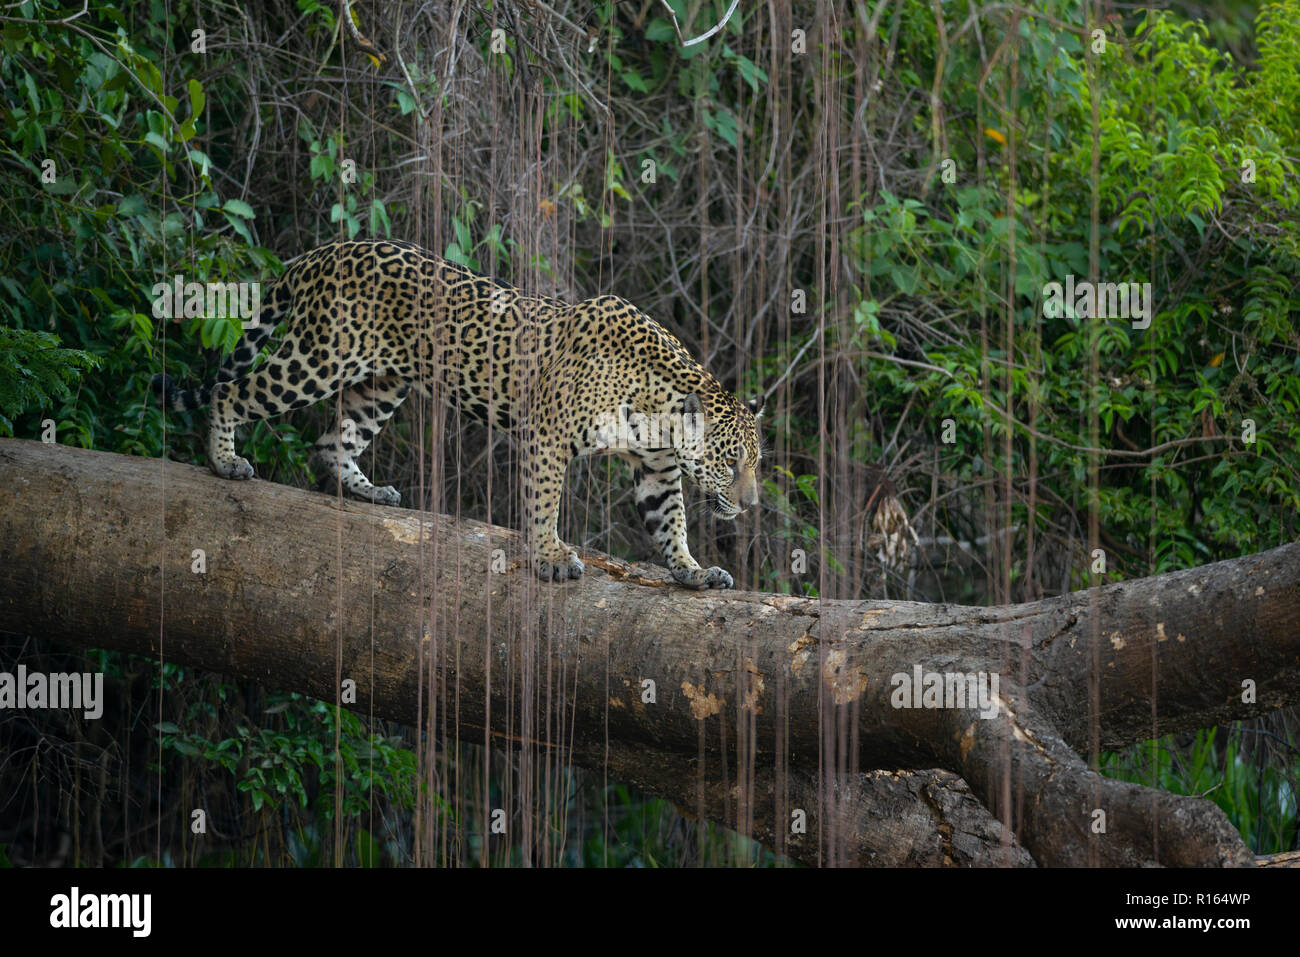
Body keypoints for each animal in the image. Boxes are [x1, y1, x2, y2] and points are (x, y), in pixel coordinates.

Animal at [152, 239, 762, 588]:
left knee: (329, 444)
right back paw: (225, 461)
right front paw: (549, 557)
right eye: (731, 462)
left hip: (380, 385)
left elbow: (670, 520)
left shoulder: (657, 466)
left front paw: (692, 571)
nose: (752, 504)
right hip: (316, 359)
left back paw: (368, 492)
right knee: (231, 391)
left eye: (754, 464)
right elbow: (544, 503)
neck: (658, 404)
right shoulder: (548, 437)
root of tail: (321, 252)